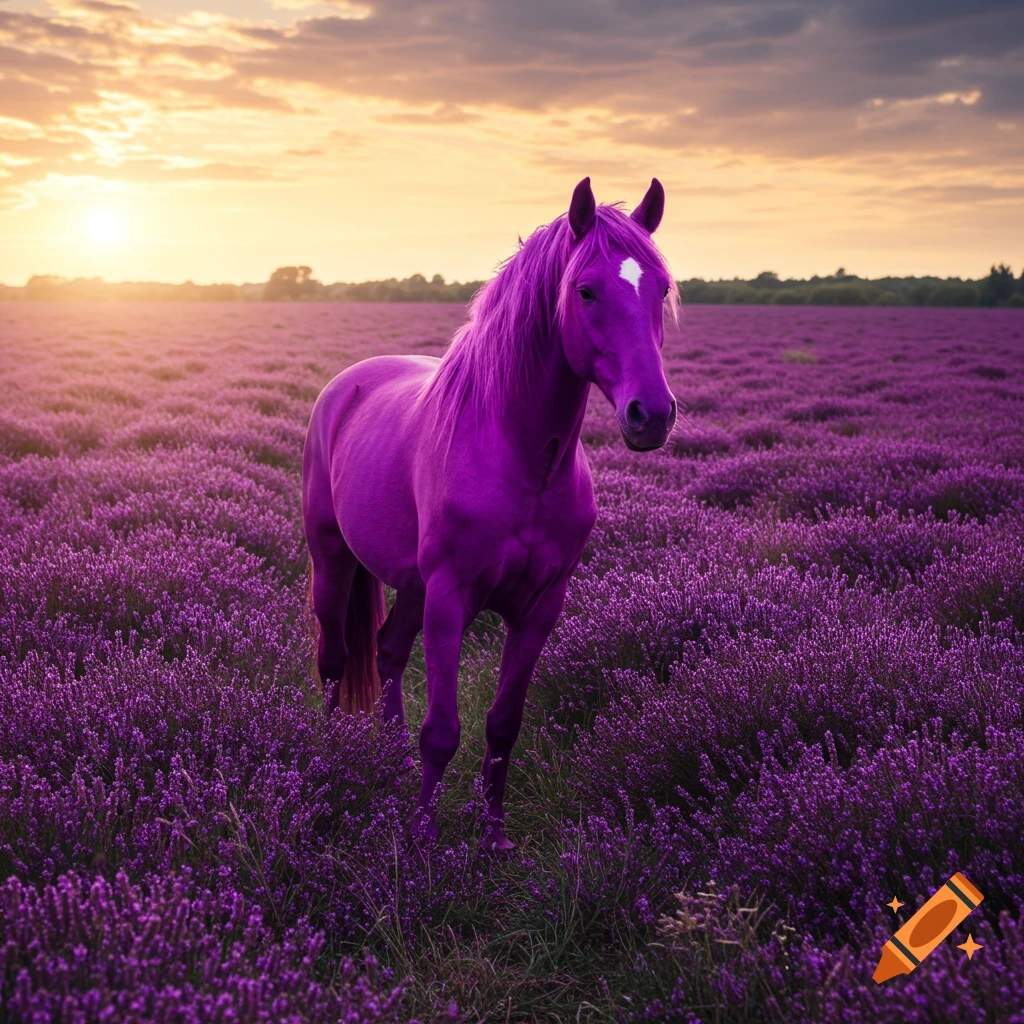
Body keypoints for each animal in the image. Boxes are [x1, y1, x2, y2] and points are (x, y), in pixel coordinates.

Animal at [302, 176, 679, 850]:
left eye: (660, 289)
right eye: (585, 290)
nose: (652, 414)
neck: (524, 461)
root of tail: (346, 384)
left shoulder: (540, 607)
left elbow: (504, 723)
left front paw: (493, 836)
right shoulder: (452, 598)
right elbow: (442, 730)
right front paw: (424, 837)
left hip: (412, 585)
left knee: (387, 651)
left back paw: (390, 759)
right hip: (335, 559)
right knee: (335, 658)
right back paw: (331, 758)